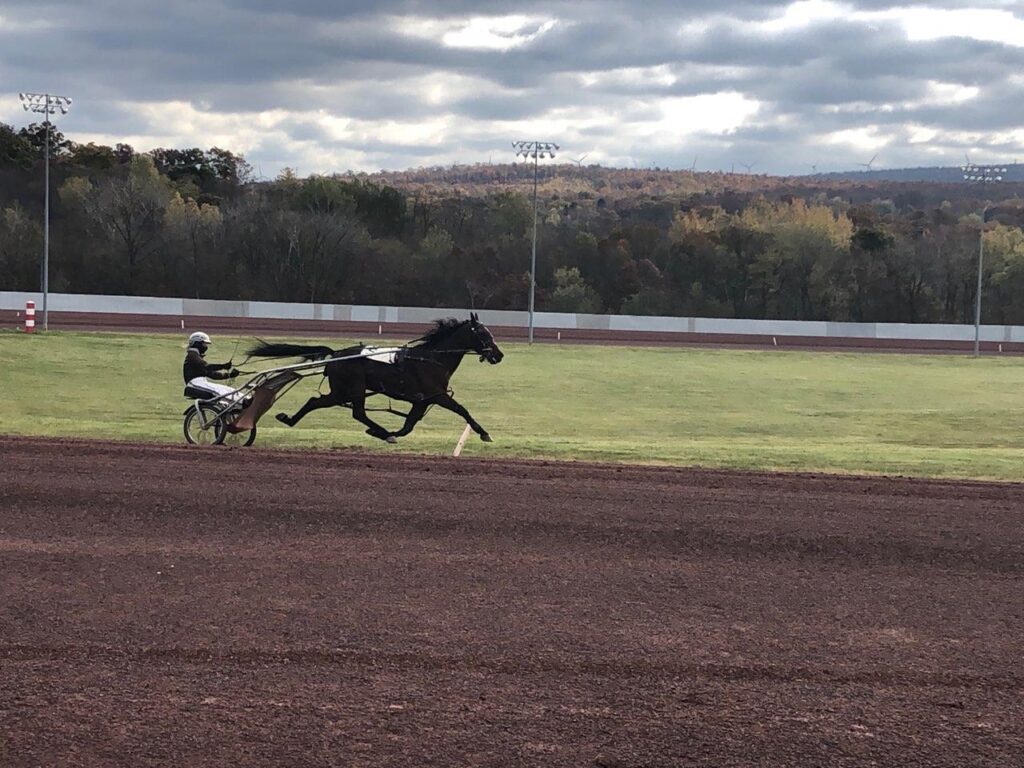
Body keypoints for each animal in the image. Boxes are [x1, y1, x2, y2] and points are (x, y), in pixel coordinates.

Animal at [245, 313, 504, 443]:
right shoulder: (437, 395)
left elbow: (409, 425)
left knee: (315, 402)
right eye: (483, 333)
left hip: (342, 391)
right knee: (357, 413)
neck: (432, 359)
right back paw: (382, 432)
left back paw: (289, 419)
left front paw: (391, 433)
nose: (498, 355)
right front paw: (484, 433)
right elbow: (462, 409)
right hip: (354, 388)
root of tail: (336, 355)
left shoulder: (422, 400)